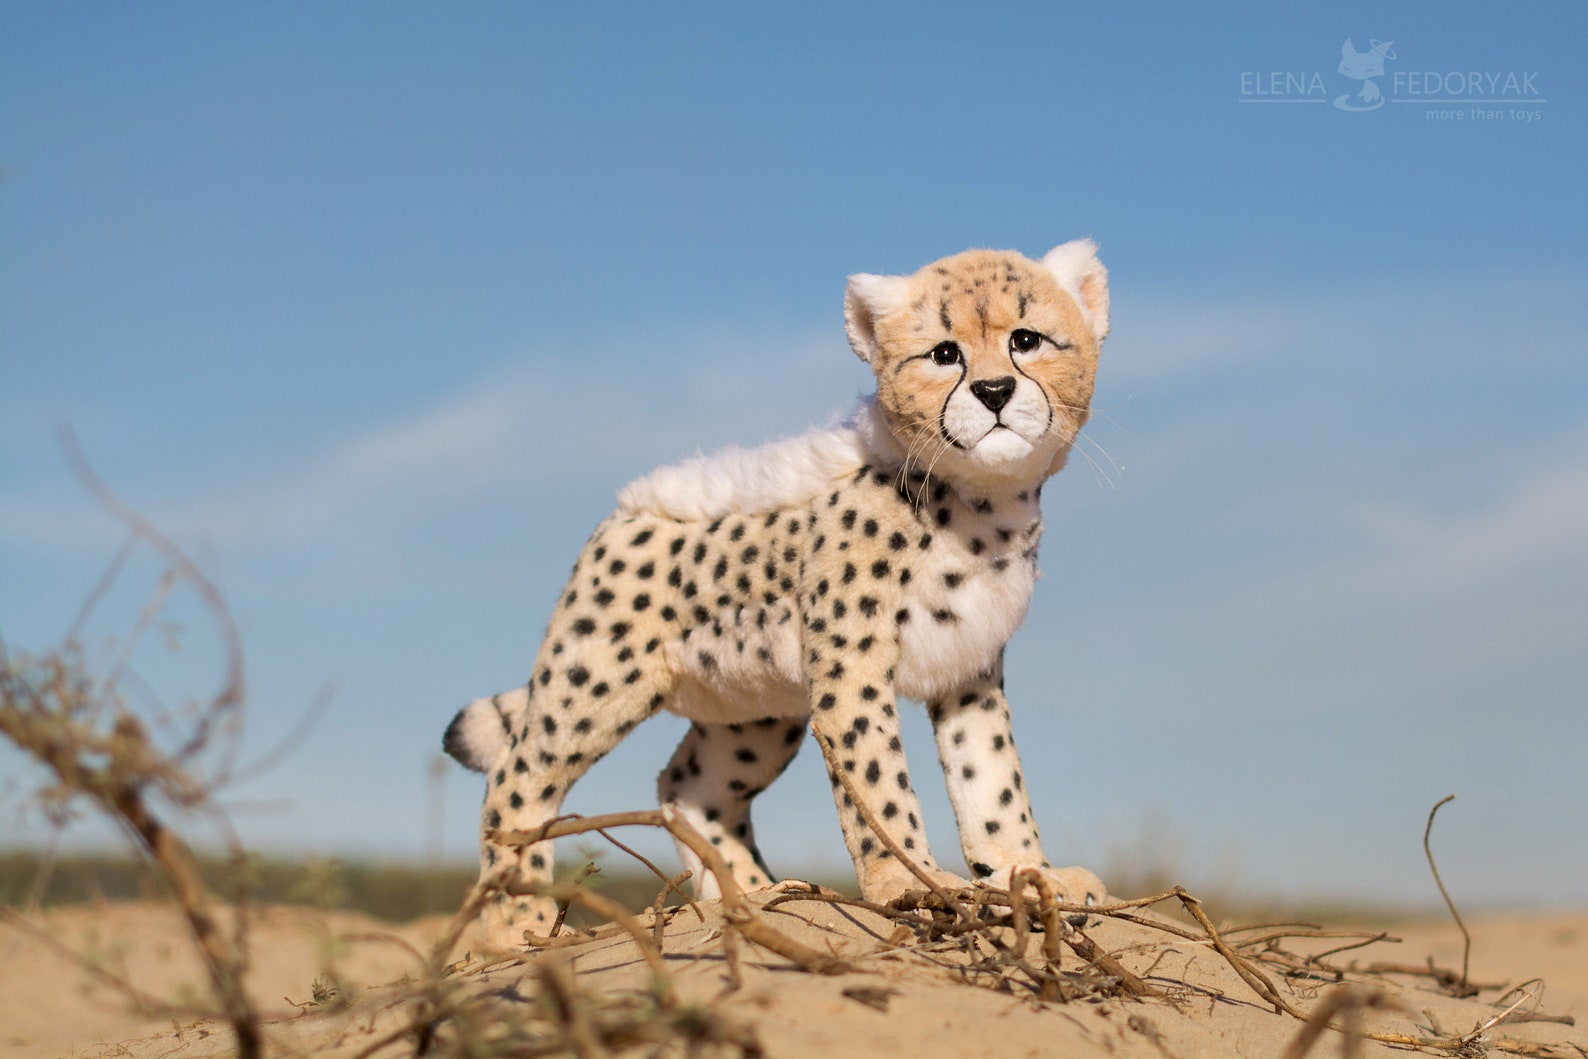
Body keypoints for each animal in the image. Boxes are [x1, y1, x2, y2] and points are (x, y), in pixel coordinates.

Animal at [444, 239, 1112, 951]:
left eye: (1026, 340)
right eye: (943, 354)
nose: (993, 391)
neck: (983, 503)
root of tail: (623, 511)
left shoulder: (971, 667)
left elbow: (992, 778)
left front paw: (1026, 873)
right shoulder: (851, 669)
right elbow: (877, 783)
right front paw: (909, 885)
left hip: (754, 707)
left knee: (689, 784)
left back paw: (752, 894)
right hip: (595, 680)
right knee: (517, 776)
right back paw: (520, 924)